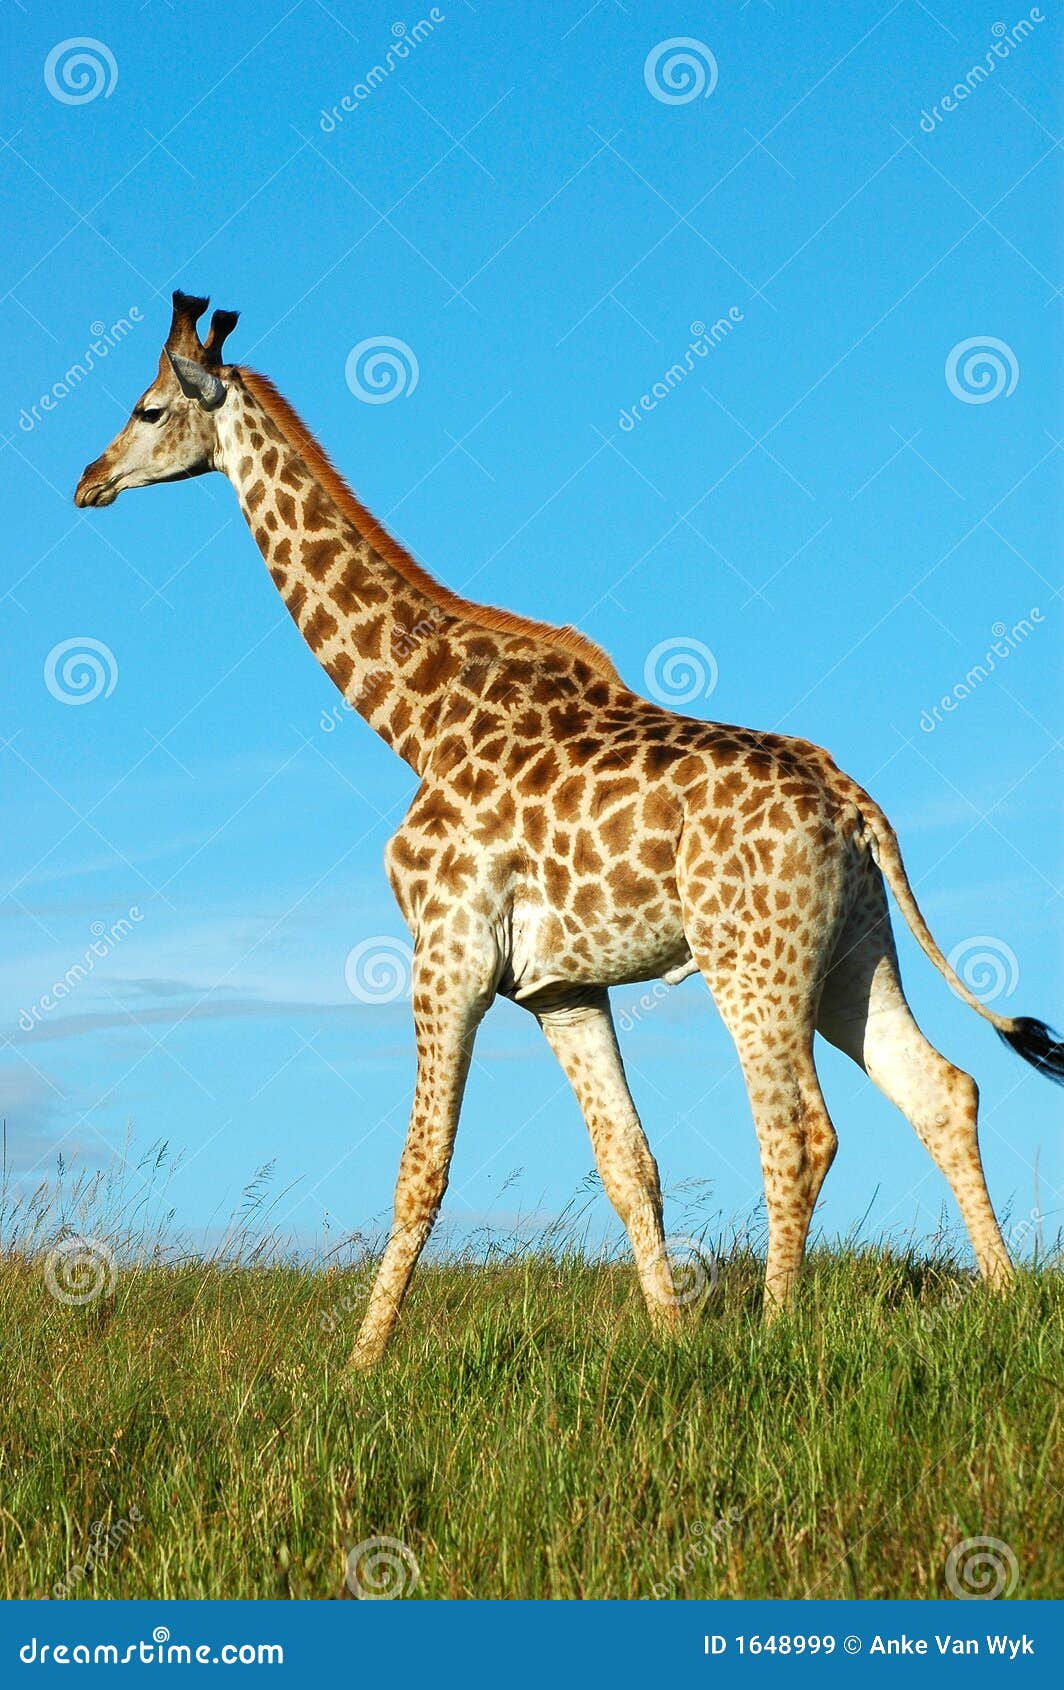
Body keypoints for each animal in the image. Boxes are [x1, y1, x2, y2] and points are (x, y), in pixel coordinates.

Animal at [75, 292, 1063, 1368]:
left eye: (146, 407)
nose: (88, 482)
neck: (415, 719)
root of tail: (853, 802)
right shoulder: (559, 986)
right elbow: (627, 1161)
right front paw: (669, 1339)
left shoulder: (447, 952)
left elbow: (420, 1168)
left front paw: (359, 1366)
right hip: (852, 948)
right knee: (942, 1089)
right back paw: (1004, 1297)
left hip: (749, 956)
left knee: (802, 1129)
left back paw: (776, 1329)